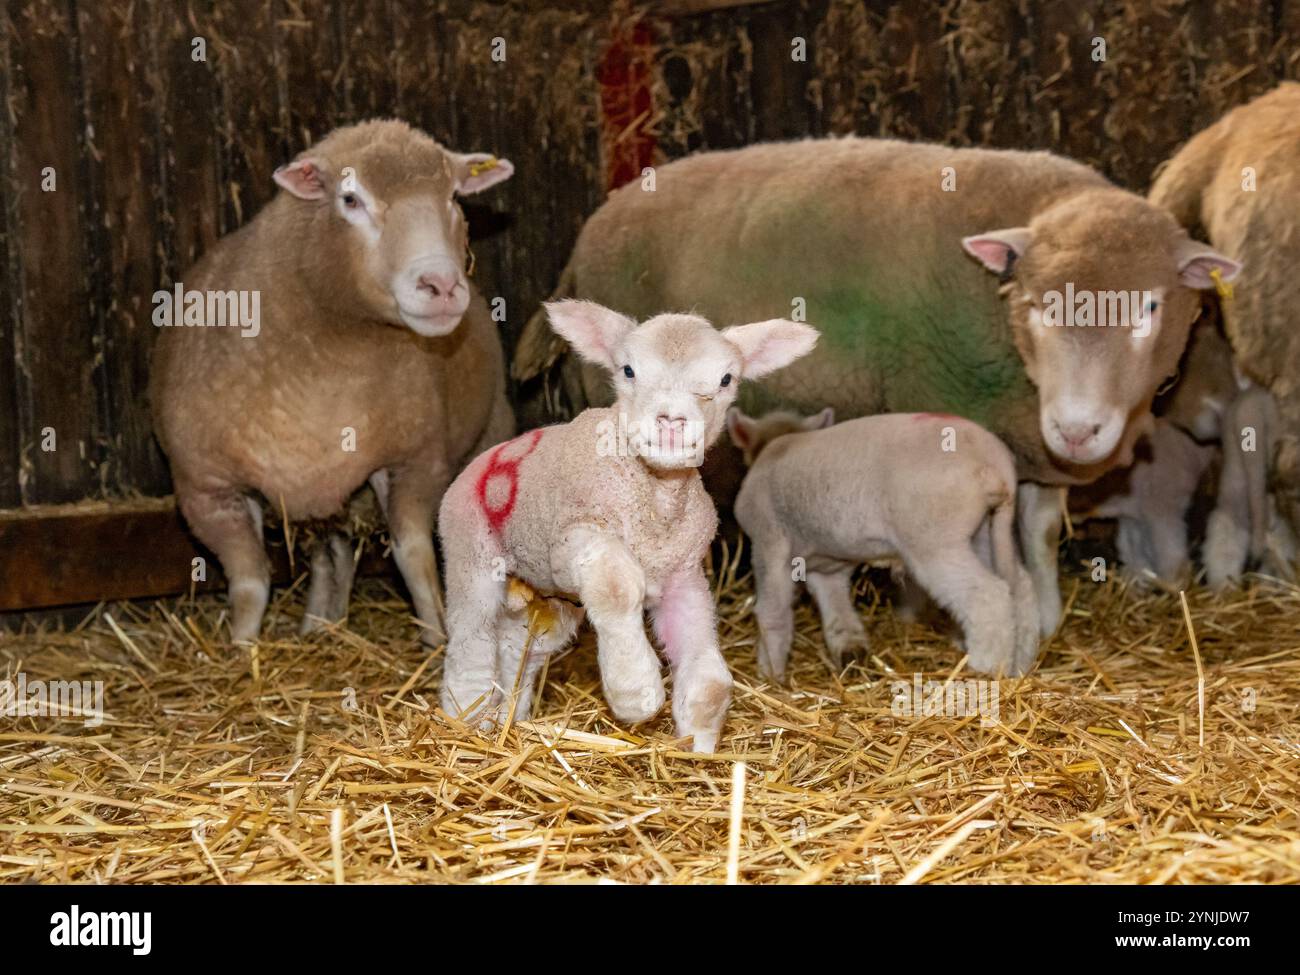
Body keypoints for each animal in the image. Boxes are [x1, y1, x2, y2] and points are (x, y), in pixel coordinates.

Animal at [150, 120, 515, 646]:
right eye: (350, 199)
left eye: (452, 195)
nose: (442, 285)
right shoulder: (207, 490)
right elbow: (250, 584)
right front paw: (242, 650)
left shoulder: (416, 460)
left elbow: (414, 558)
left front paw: (437, 638)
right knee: (332, 555)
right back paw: (319, 627)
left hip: (489, 433)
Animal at [437, 300, 819, 752]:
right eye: (628, 370)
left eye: (726, 379)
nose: (671, 422)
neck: (656, 506)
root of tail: (481, 460)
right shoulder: (574, 539)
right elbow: (618, 586)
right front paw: (634, 692)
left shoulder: (683, 575)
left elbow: (710, 681)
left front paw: (700, 749)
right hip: (471, 555)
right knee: (471, 642)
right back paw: (466, 721)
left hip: (549, 595)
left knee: (519, 649)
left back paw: (509, 717)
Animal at [513, 136, 1241, 639]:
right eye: (1036, 306)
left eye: (1151, 308)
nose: (1078, 428)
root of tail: (587, 235)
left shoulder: (1032, 444)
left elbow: (1034, 533)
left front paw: (1045, 616)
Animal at [727, 408, 1039, 680]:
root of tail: (992, 461)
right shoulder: (826, 565)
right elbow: (839, 613)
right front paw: (850, 652)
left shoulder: (768, 544)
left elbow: (773, 614)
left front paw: (769, 675)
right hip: (983, 532)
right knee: (1021, 590)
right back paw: (1020, 666)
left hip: (934, 539)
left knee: (987, 596)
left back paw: (984, 667)